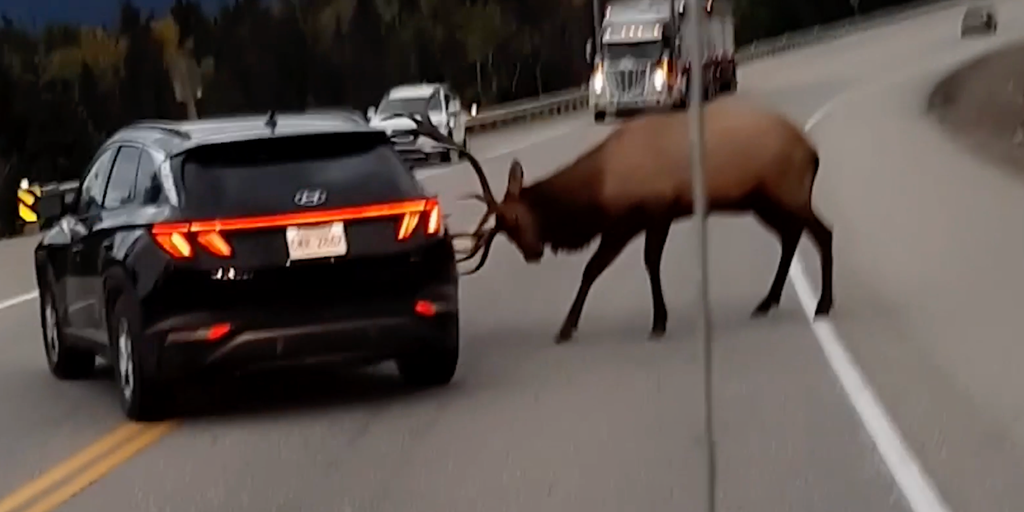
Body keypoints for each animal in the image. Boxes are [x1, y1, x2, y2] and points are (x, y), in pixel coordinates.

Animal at [391, 95, 833, 343]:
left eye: (513, 223)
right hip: (763, 200)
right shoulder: (636, 220)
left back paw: (821, 304)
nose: (533, 253)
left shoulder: (648, 212)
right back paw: (768, 301)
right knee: (793, 236)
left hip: (785, 191)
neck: (599, 191)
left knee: (822, 232)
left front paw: (649, 321)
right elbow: (609, 266)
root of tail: (812, 151)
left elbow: (613, 266)